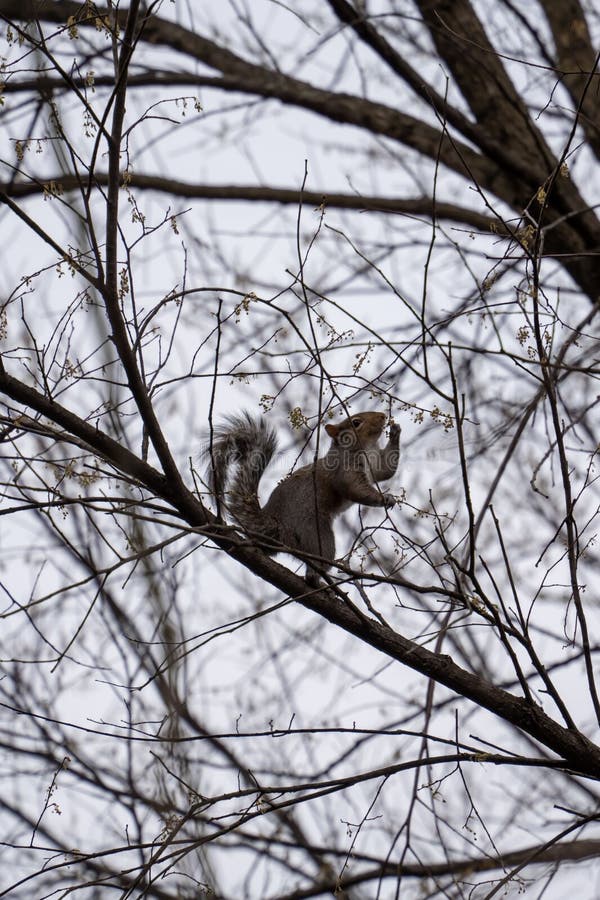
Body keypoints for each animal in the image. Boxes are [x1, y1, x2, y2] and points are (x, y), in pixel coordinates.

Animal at [208, 410, 400, 579]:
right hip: (314, 531)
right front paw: (384, 498)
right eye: (356, 422)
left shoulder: (375, 465)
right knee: (321, 556)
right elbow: (356, 489)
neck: (367, 449)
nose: (383, 416)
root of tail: (274, 522)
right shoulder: (344, 471)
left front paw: (396, 431)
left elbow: (386, 470)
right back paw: (315, 578)